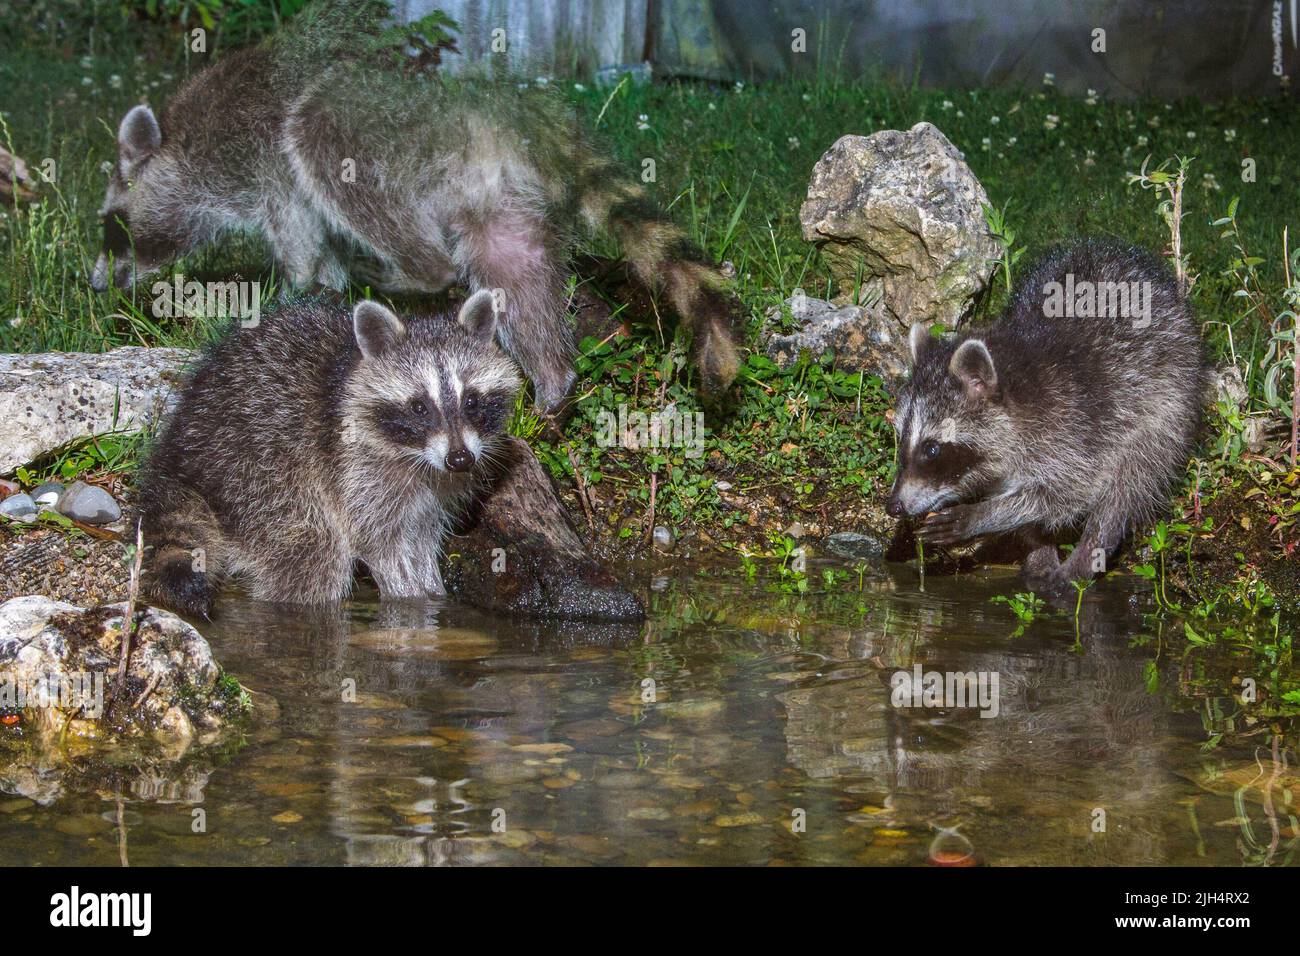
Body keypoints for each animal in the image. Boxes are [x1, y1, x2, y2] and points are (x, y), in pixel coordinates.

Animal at [91, 26, 740, 411]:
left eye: (112, 225)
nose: (95, 284)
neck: (183, 144)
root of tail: (490, 104)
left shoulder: (264, 164)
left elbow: (300, 243)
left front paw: (282, 299)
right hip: (491, 189)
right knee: (515, 266)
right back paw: (553, 384)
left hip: (377, 132)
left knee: (322, 135)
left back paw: (415, 271)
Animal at [138, 290, 521, 617]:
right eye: (419, 407)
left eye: (472, 401)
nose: (460, 460)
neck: (417, 458)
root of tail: (178, 451)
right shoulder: (351, 465)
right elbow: (377, 542)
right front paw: (408, 597)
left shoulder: (437, 488)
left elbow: (423, 538)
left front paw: (433, 592)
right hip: (253, 467)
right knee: (313, 552)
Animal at [887, 241, 1205, 589]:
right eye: (901, 439)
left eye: (931, 449)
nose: (893, 506)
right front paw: (1034, 539)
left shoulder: (1078, 429)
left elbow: (1064, 495)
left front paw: (985, 514)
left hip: (1167, 404)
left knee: (1130, 479)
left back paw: (1087, 555)